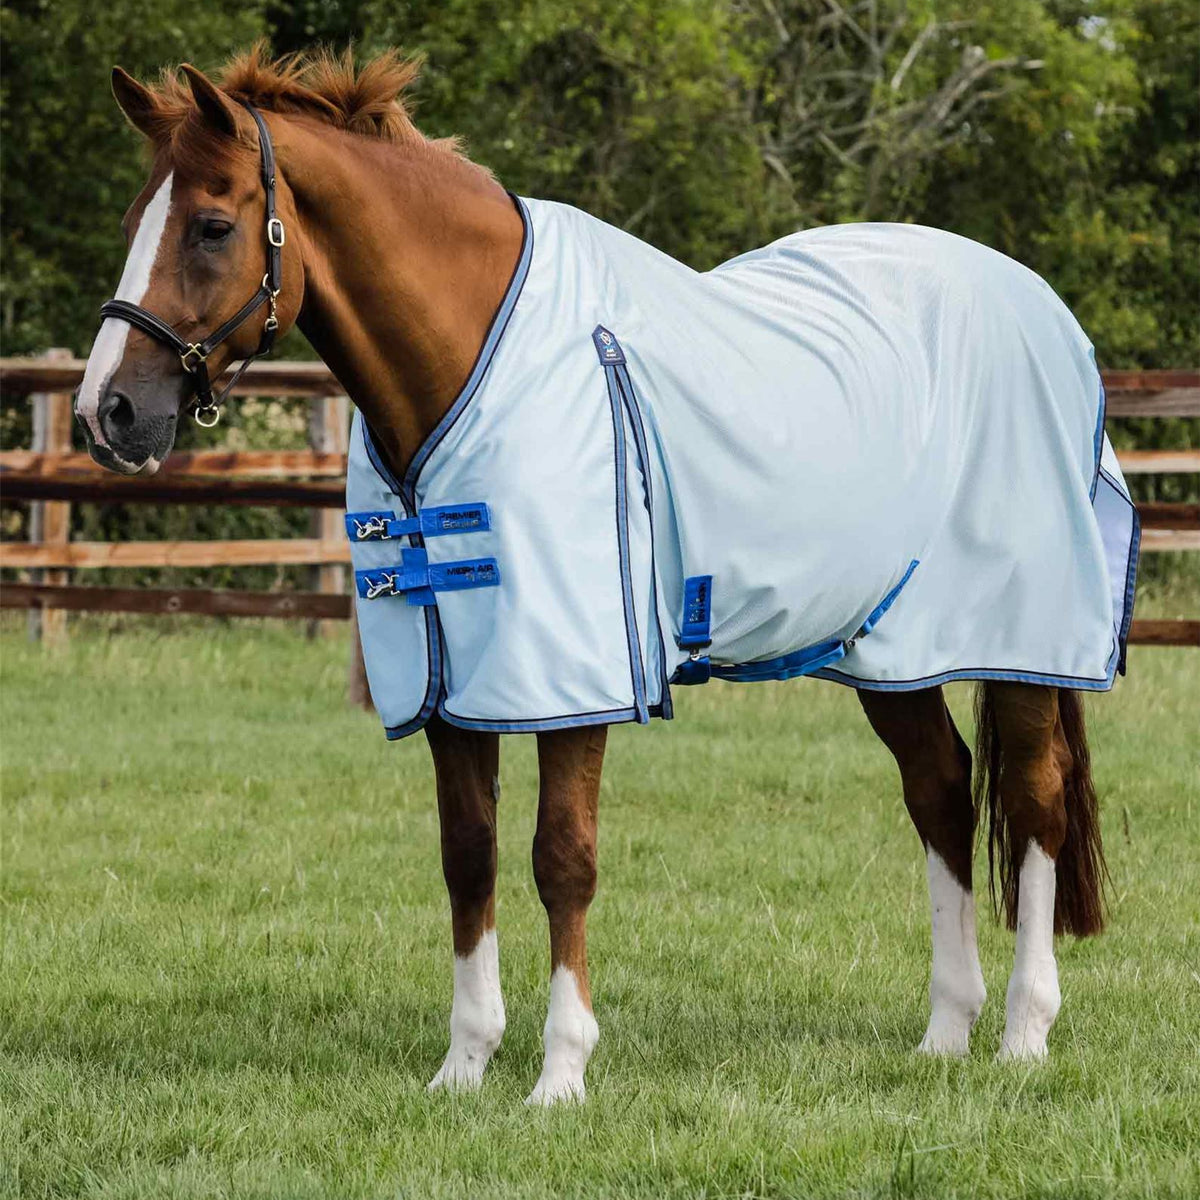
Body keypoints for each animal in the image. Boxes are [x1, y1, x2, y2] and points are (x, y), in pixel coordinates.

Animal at [75, 48, 1131, 1105]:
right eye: (130, 220)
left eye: (212, 226)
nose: (107, 412)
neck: (472, 355)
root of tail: (1041, 308)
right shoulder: (453, 685)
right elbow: (468, 857)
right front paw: (463, 1066)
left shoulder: (573, 681)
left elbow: (562, 859)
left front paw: (560, 1073)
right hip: (890, 648)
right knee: (942, 792)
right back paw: (946, 1032)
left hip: (1019, 641)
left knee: (1032, 802)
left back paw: (1024, 1034)